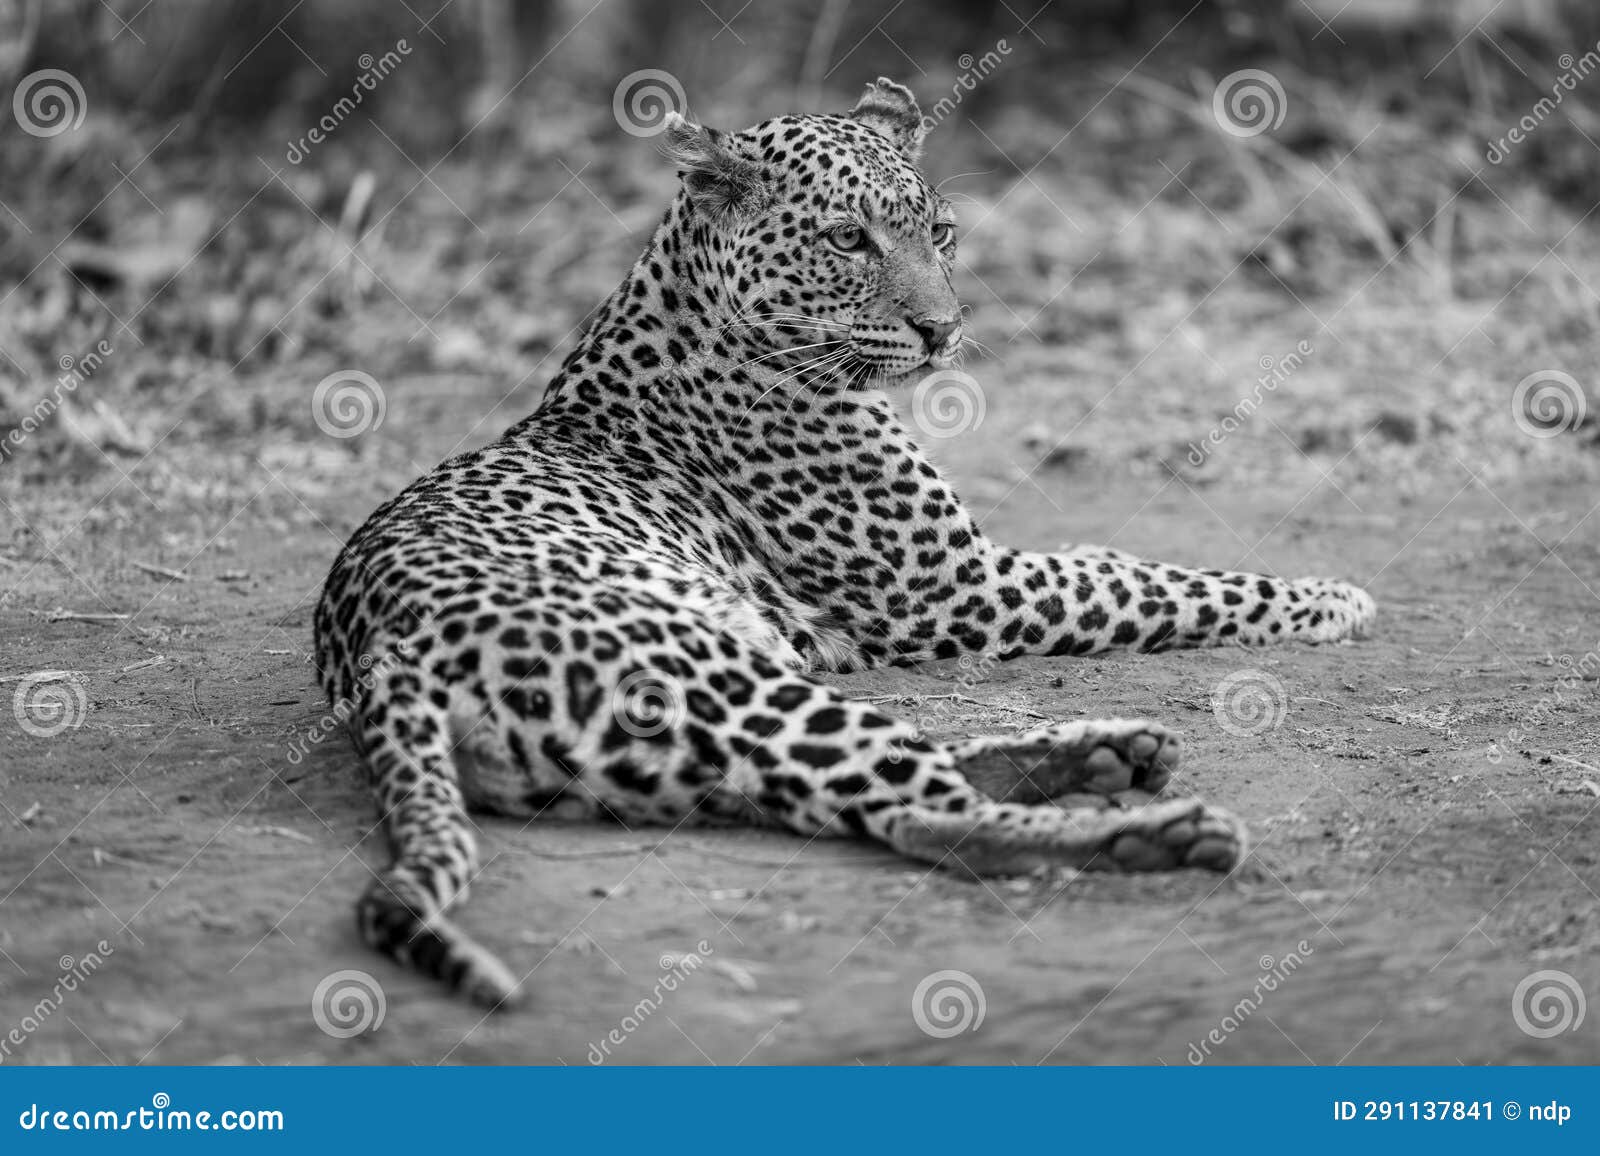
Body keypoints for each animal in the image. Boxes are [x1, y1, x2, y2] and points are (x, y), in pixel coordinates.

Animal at [313, 78, 1376, 1008]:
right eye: (846, 239)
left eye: (938, 231)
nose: (942, 330)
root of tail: (385, 656)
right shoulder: (961, 590)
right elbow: (1152, 581)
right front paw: (1330, 597)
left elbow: (1122, 567)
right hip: (712, 681)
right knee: (924, 813)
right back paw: (1156, 834)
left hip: (686, 747)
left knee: (889, 781)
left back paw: (1115, 754)